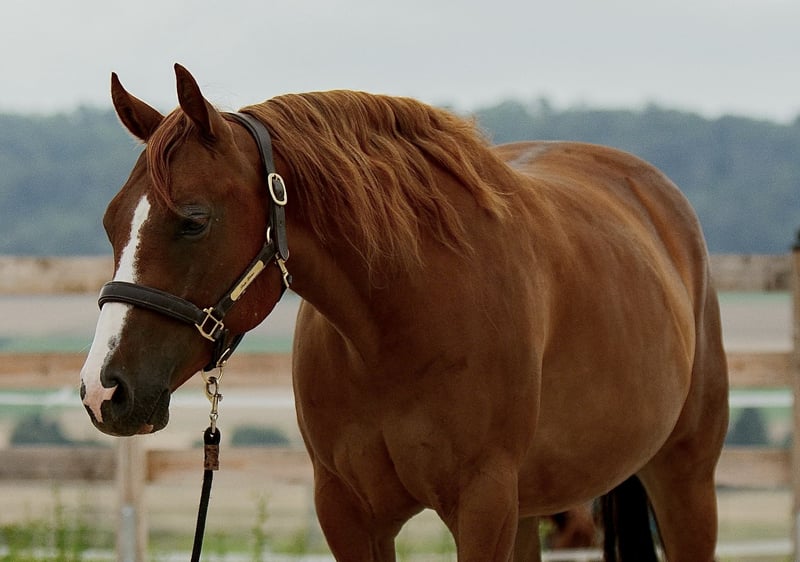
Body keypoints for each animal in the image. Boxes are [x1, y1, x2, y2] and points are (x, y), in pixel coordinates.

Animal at [80, 64, 728, 561]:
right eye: (110, 222)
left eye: (193, 220)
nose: (102, 390)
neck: (396, 327)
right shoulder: (347, 510)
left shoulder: (483, 504)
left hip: (684, 481)